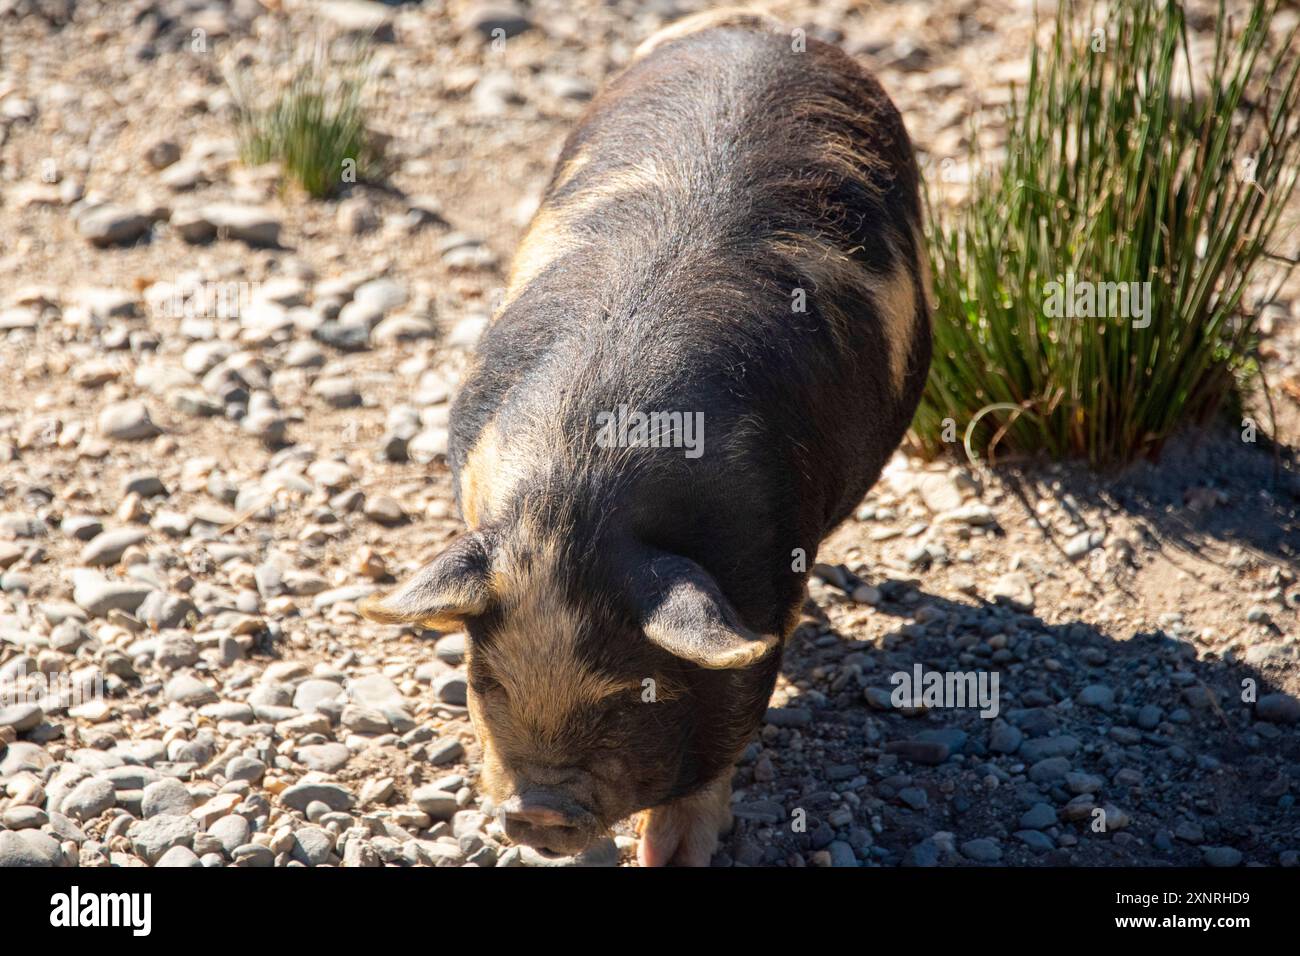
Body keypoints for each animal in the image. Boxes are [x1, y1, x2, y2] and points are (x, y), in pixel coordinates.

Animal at [360, 9, 932, 866]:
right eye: (486, 682)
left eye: (635, 692)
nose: (539, 812)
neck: (578, 489)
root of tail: (762, 25)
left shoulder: (764, 576)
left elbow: (725, 727)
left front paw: (672, 853)